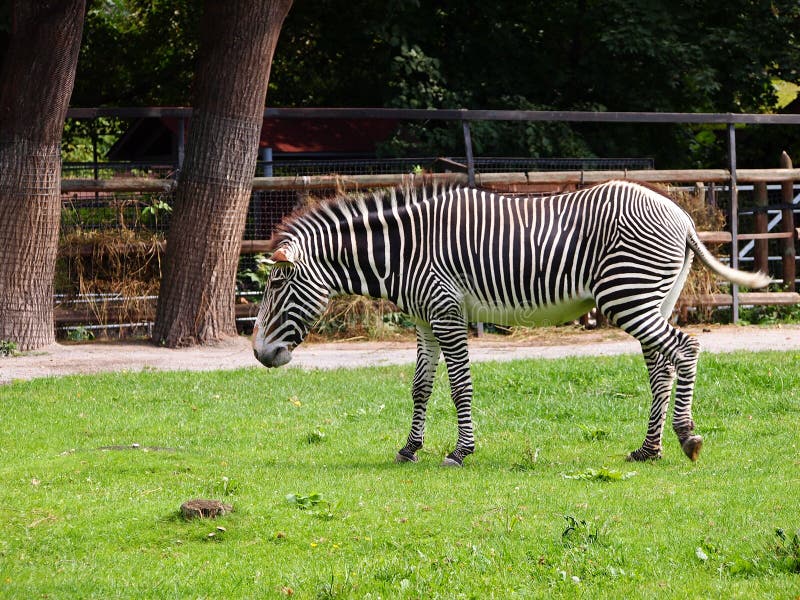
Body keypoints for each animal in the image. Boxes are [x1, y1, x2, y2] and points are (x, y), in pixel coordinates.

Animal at [252, 180, 770, 466]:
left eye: (278, 285)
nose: (258, 353)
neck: (403, 252)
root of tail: (683, 217)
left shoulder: (446, 312)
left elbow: (460, 385)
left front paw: (460, 451)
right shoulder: (423, 321)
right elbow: (421, 387)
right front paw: (409, 448)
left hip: (629, 296)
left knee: (685, 350)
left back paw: (687, 437)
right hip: (652, 298)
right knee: (661, 367)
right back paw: (649, 449)